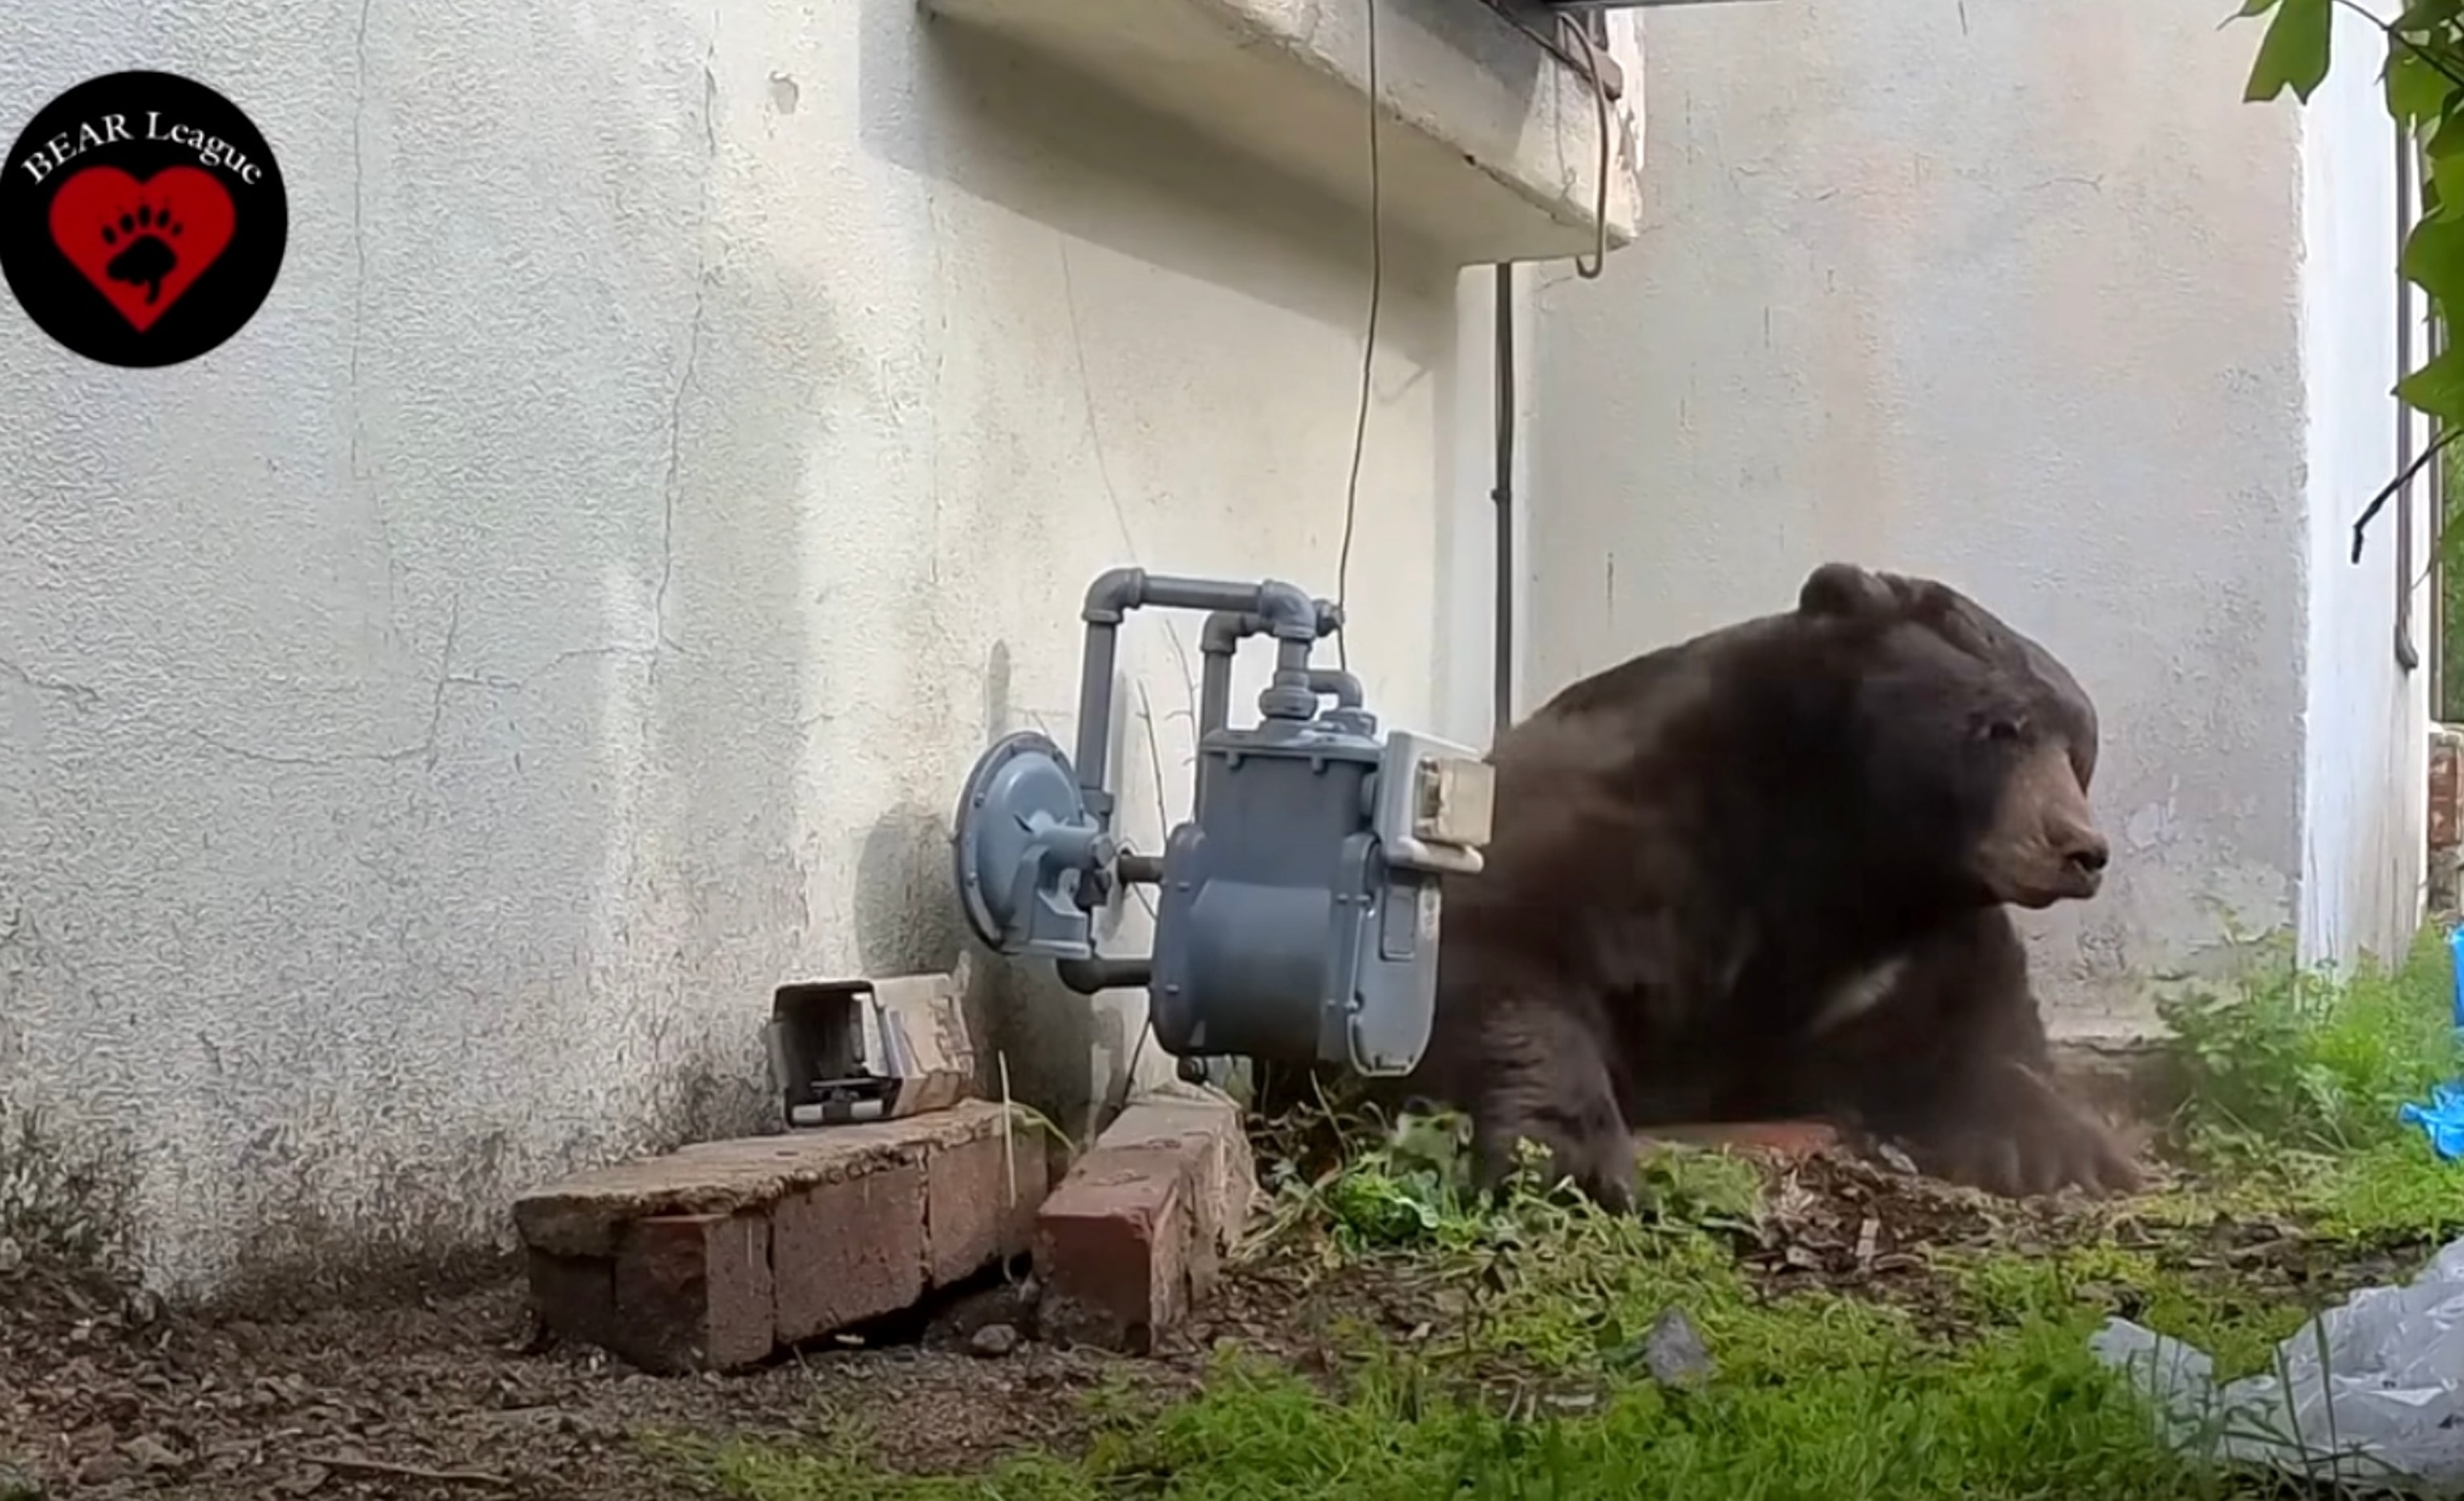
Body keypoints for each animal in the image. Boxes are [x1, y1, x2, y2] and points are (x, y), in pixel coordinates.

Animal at [1391, 560, 2142, 1210]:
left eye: (2078, 749)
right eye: (2001, 728)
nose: (2081, 849)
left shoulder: (1901, 935)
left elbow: (1971, 1023)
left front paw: (2062, 1148)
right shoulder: (1623, 832)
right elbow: (1501, 947)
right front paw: (1571, 1155)